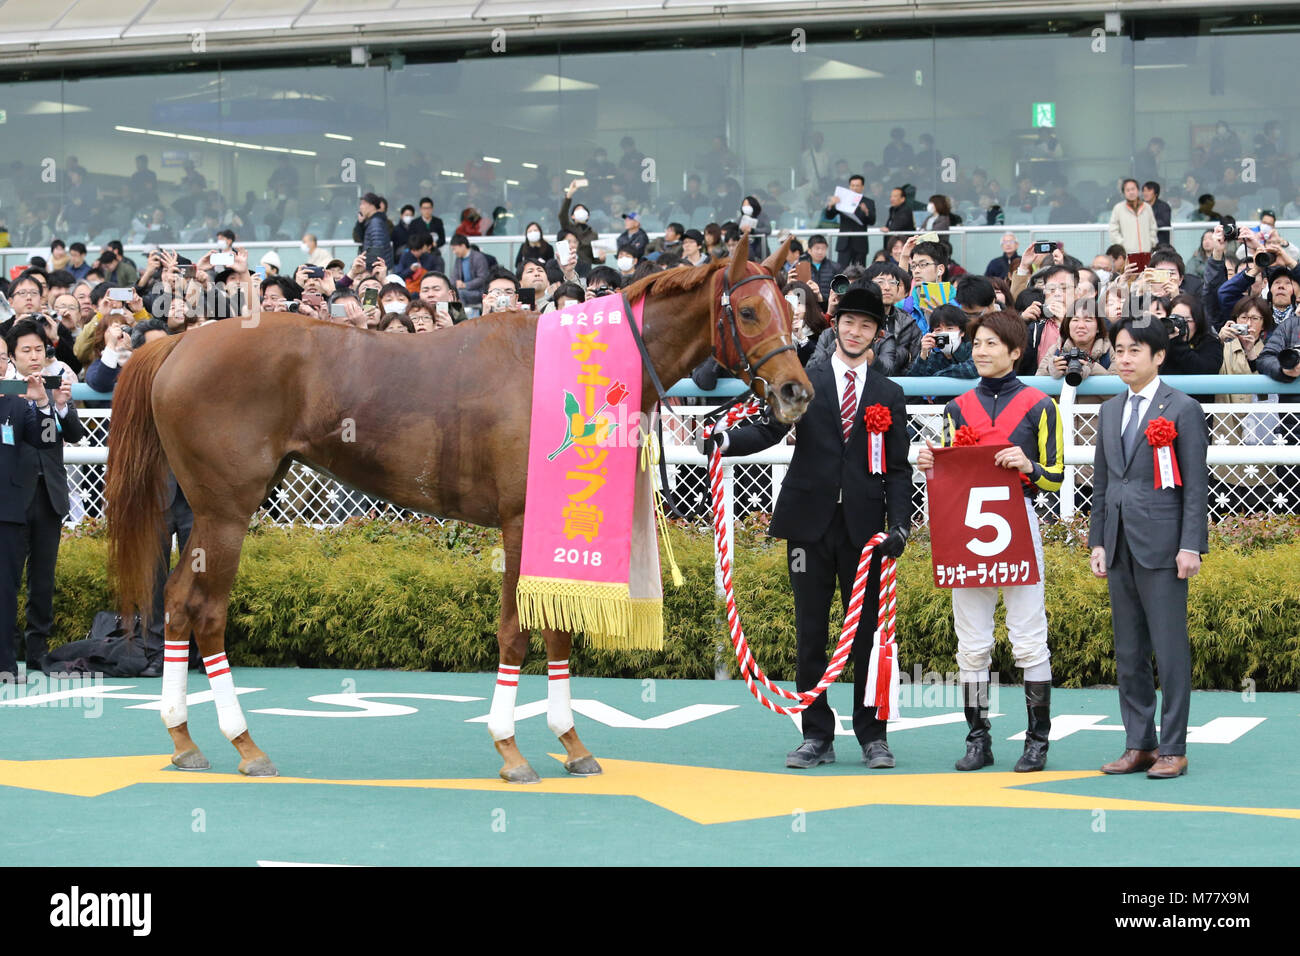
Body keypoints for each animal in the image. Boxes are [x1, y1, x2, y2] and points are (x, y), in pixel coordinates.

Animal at [105, 234, 813, 782]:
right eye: (749, 310)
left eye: (790, 307)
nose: (796, 392)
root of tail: (179, 344)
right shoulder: (521, 521)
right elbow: (518, 629)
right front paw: (511, 748)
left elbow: (556, 628)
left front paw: (572, 743)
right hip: (226, 512)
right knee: (205, 611)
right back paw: (244, 745)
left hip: (211, 513)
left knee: (176, 603)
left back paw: (185, 740)